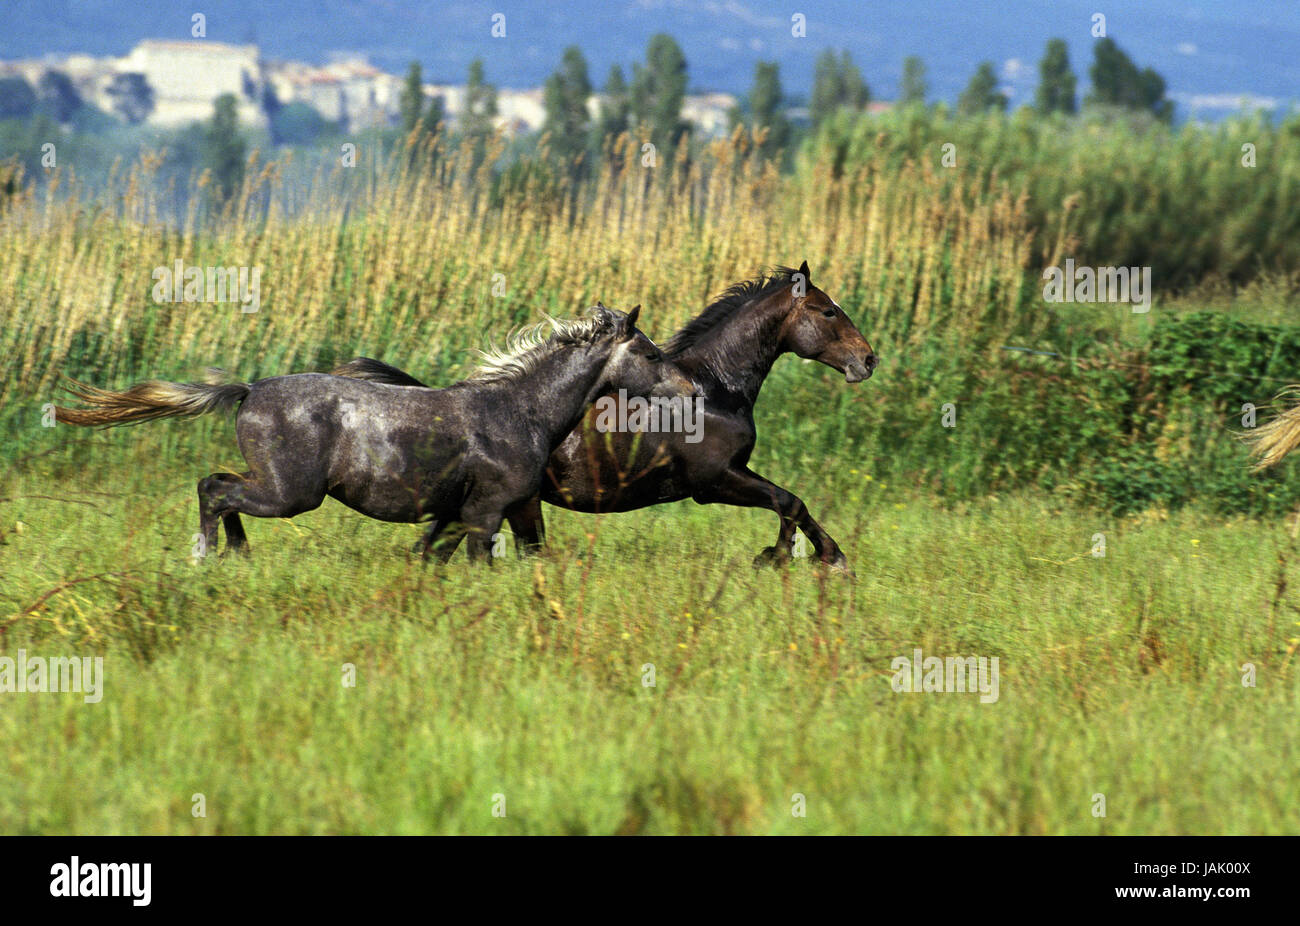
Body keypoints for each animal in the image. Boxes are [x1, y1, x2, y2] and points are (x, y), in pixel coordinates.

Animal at [54, 304, 695, 562]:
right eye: (649, 352)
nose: (691, 391)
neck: (520, 413)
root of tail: (249, 390)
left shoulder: (479, 510)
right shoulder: (486, 509)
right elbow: (480, 561)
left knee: (217, 487)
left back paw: (237, 555)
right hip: (290, 494)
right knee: (214, 490)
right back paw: (207, 557)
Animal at [332, 261, 878, 571]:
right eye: (828, 311)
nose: (868, 360)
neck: (713, 390)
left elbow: (790, 503)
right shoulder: (715, 480)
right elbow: (790, 502)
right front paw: (807, 559)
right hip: (519, 504)